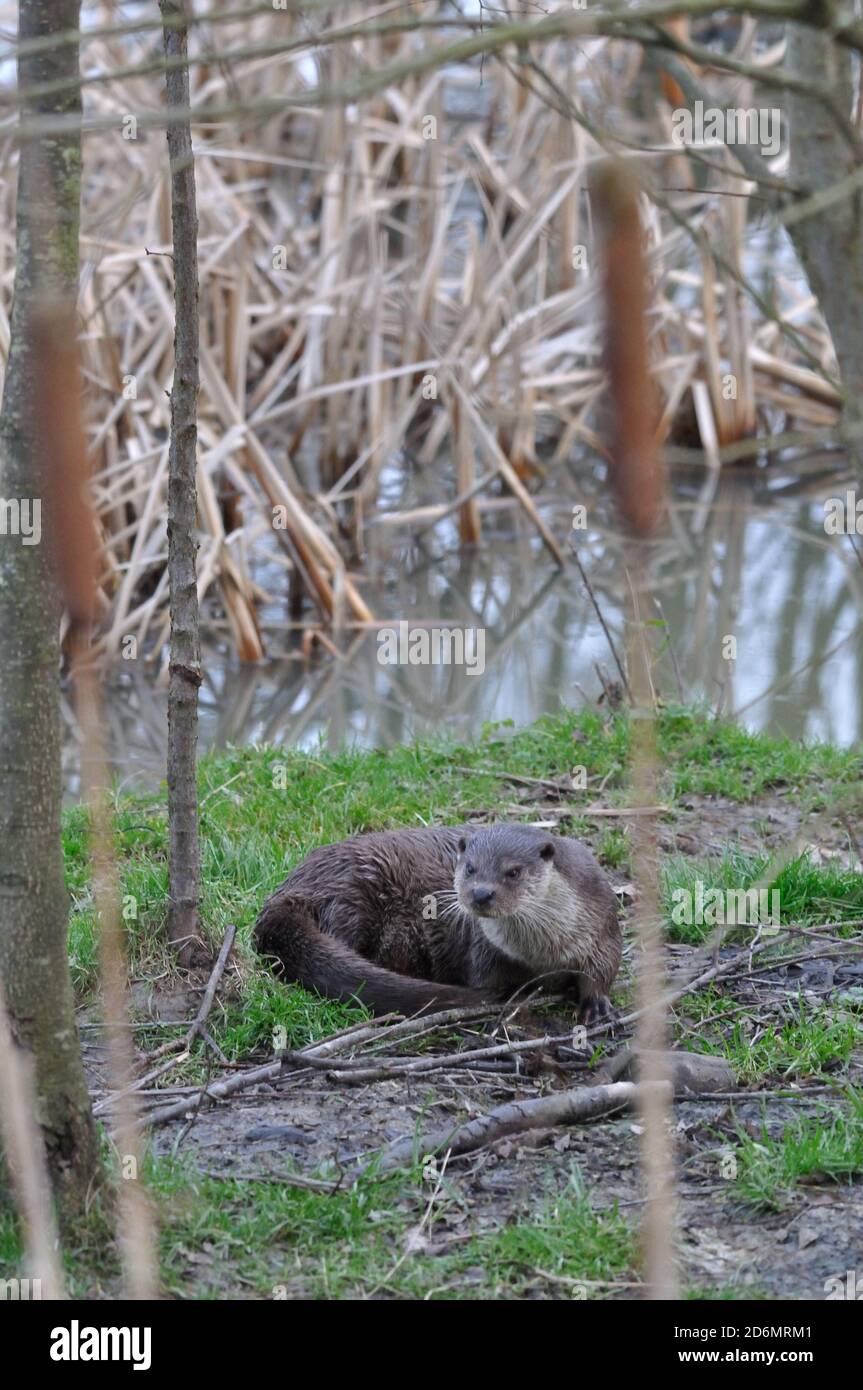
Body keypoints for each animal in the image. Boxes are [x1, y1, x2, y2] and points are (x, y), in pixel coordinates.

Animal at [254, 824, 621, 1023]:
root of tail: (292, 886)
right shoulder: (484, 950)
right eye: (469, 867)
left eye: (514, 871)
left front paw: (596, 1003)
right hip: (348, 896)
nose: (481, 893)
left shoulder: (602, 920)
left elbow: (605, 965)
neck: (541, 953)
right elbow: (487, 983)